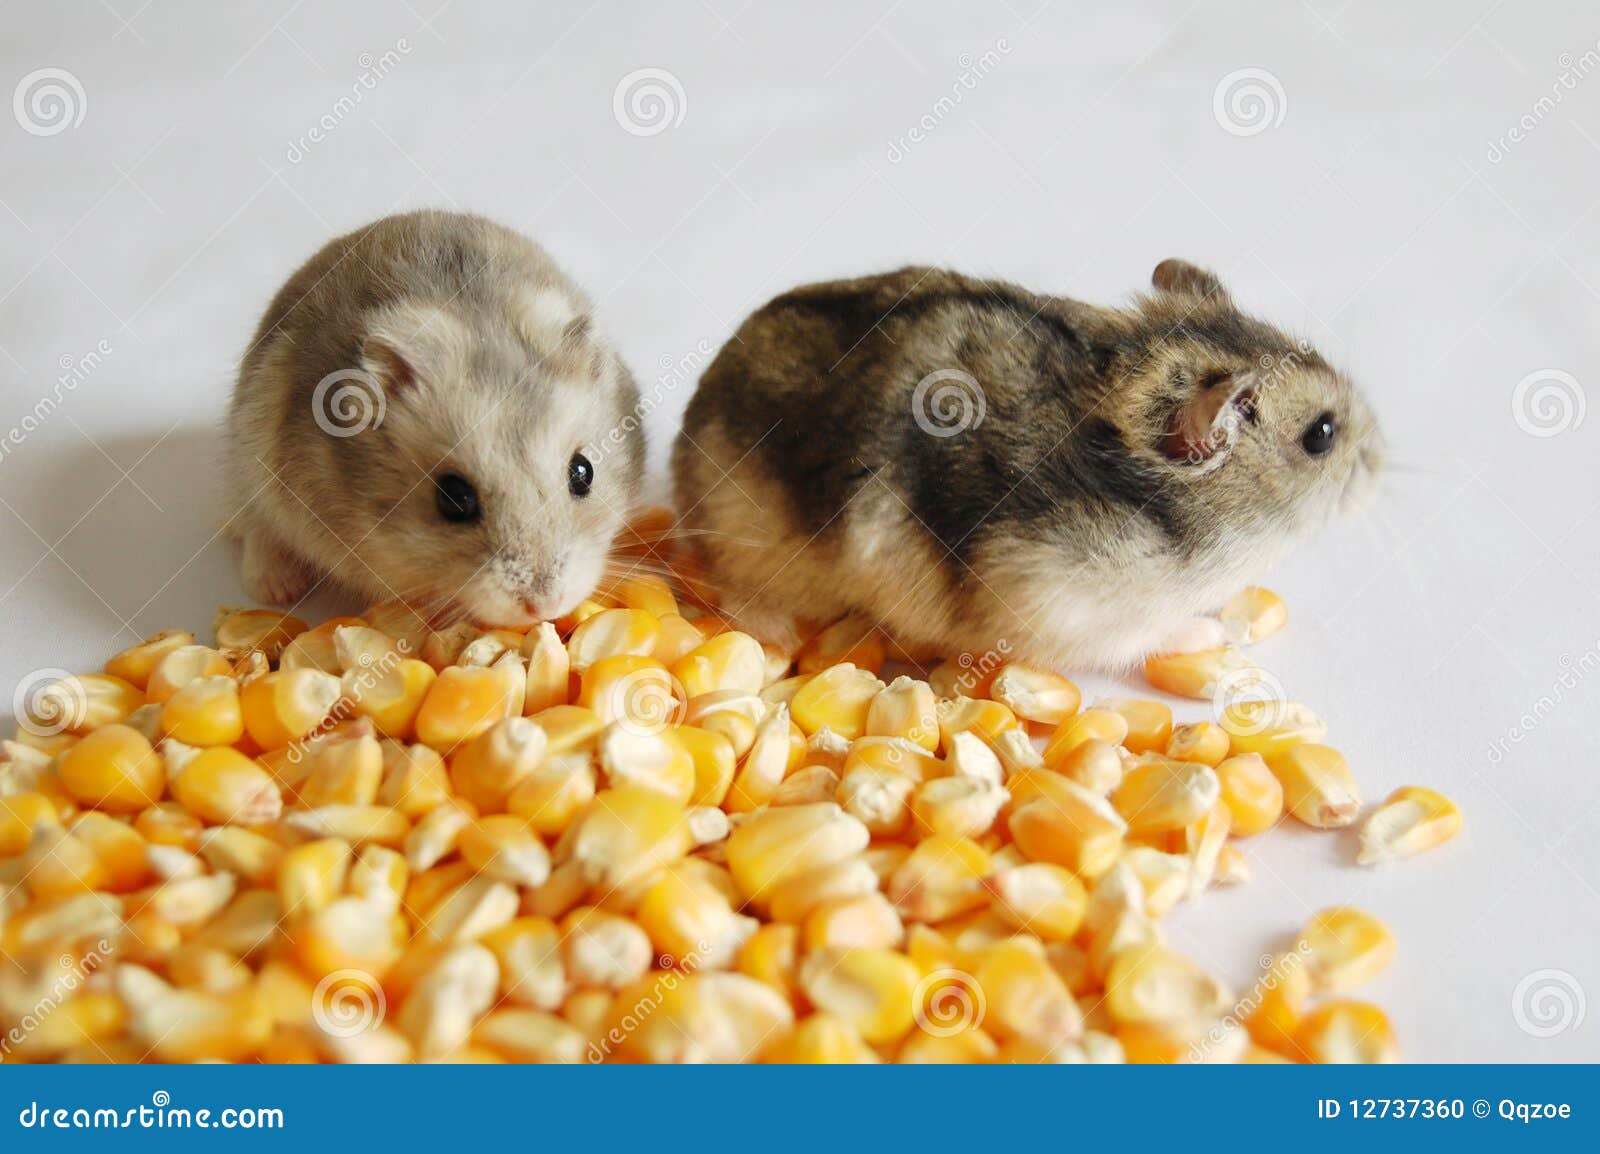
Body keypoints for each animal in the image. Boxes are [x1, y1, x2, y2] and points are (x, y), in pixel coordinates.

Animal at [226, 210, 642, 626]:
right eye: (453, 498)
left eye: (583, 472)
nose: (544, 605)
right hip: (250, 456)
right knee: (256, 526)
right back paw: (277, 589)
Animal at [671, 260, 1382, 670]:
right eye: (1321, 435)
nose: (1377, 459)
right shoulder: (1068, 604)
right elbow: (1150, 636)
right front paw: (1214, 635)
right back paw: (778, 639)